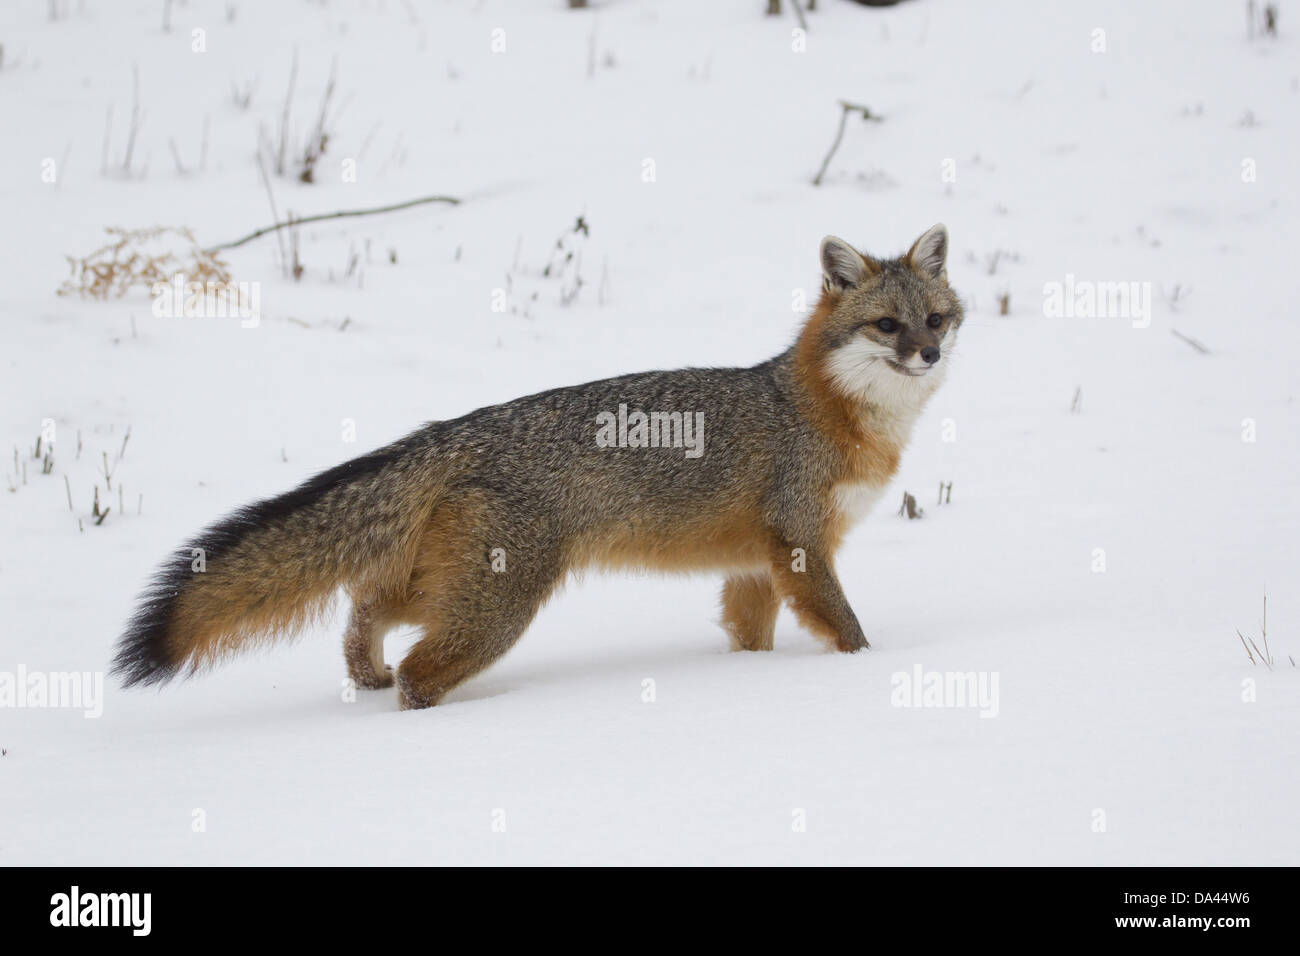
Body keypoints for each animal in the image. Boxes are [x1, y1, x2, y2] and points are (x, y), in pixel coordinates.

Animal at [114, 224, 964, 710]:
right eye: (887, 325)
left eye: (936, 318)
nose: (929, 354)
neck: (825, 408)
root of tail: (452, 431)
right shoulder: (800, 546)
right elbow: (849, 630)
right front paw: (869, 673)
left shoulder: (755, 566)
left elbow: (749, 640)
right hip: (499, 607)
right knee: (418, 669)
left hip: (453, 585)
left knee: (365, 606)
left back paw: (366, 674)